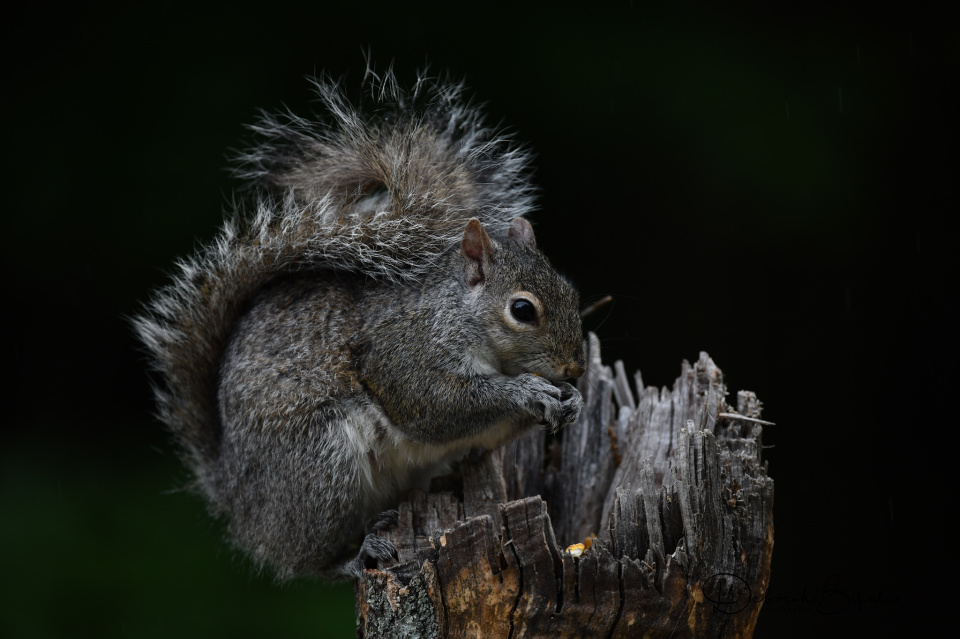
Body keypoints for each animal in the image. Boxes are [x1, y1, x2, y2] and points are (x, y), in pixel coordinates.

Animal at [135, 70, 586, 581]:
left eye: (571, 293)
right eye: (523, 310)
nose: (575, 369)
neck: (454, 313)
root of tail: (236, 499)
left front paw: (570, 400)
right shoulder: (402, 351)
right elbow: (438, 406)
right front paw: (527, 392)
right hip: (320, 469)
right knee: (304, 560)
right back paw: (353, 558)